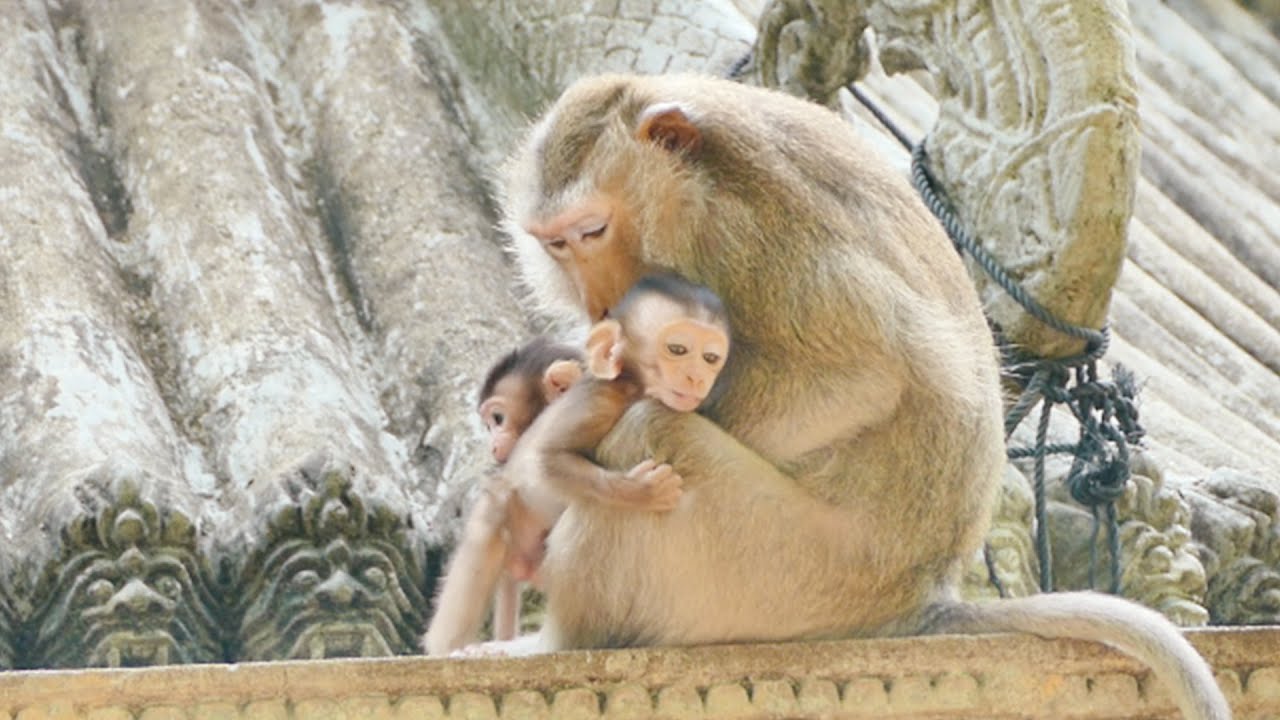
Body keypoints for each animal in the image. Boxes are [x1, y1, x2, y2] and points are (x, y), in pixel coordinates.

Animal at [424, 273, 732, 657]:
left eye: (710, 357)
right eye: (677, 350)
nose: (696, 377)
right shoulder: (599, 399)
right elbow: (547, 459)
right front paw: (641, 492)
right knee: (491, 517)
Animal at [493, 73, 1230, 720]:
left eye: (592, 231)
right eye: (557, 245)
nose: (599, 301)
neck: (698, 180)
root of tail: (919, 601)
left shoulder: (744, 240)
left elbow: (865, 378)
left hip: (785, 570)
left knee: (652, 437)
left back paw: (559, 643)